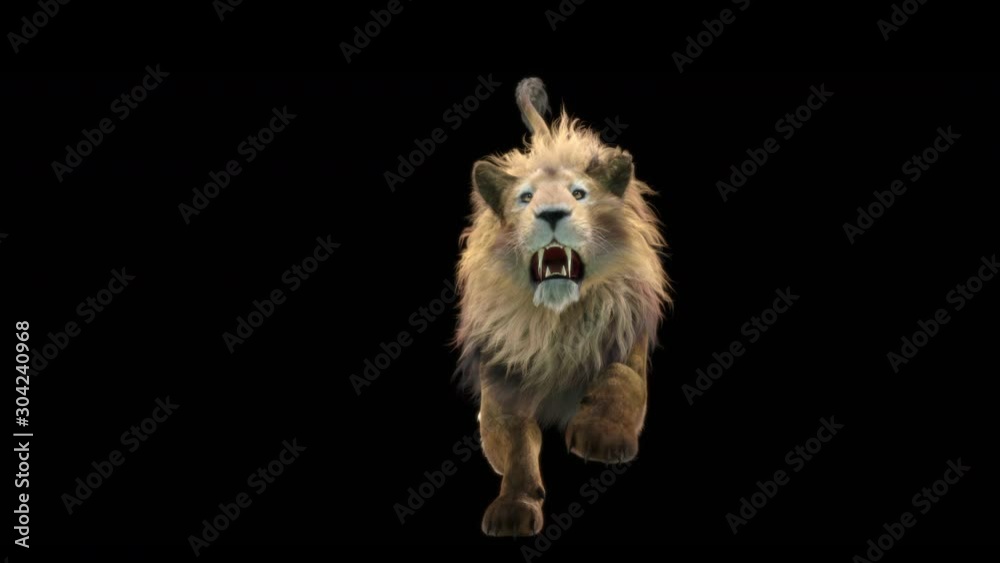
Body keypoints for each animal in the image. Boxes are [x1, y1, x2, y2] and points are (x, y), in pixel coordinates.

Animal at [454, 77, 671, 536]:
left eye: (579, 194)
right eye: (525, 197)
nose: (552, 213)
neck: (557, 326)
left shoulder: (627, 346)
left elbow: (621, 381)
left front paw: (602, 437)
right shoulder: (500, 392)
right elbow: (517, 446)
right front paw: (514, 507)